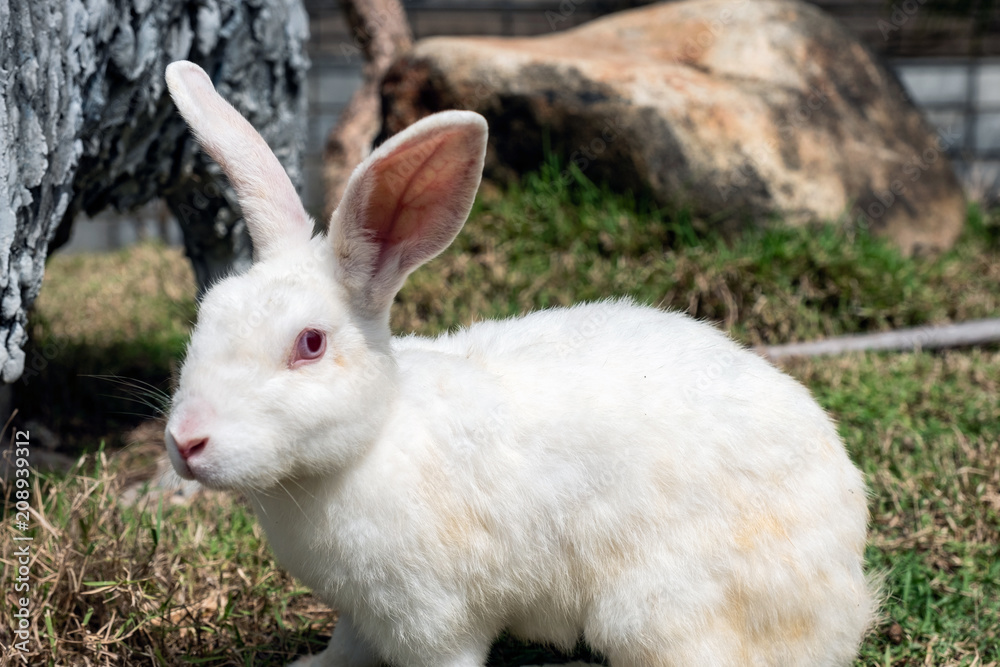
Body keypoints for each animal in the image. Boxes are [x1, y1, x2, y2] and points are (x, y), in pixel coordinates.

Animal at [163, 60, 875, 667]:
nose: (185, 442)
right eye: (208, 313)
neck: (376, 437)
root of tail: (845, 587)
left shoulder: (432, 618)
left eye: (309, 343)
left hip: (659, 615)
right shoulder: (360, 615)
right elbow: (345, 650)